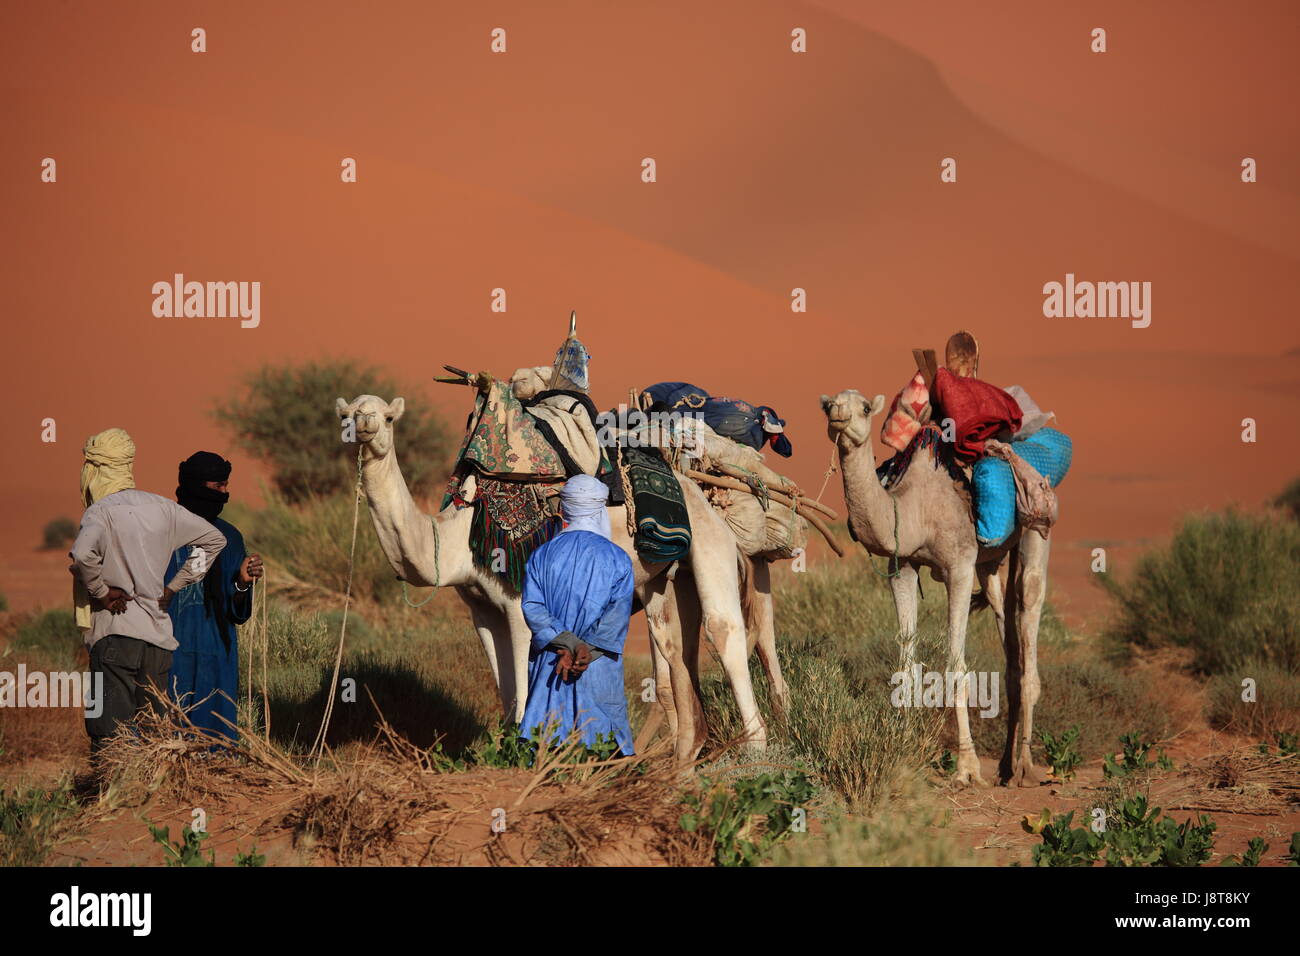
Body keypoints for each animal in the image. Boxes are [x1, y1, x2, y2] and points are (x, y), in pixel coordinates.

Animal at [333, 393, 766, 764]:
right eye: (347, 414)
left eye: (389, 417)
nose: (366, 424)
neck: (455, 539)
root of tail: (701, 492)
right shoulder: (481, 609)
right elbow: (506, 690)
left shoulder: (519, 602)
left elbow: (525, 694)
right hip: (665, 578)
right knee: (673, 652)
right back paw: (679, 763)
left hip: (710, 544)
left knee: (722, 631)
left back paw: (753, 755)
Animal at [820, 389, 1051, 787]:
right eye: (828, 403)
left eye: (864, 407)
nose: (837, 414)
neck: (915, 507)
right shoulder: (902, 567)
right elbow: (905, 664)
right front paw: (904, 751)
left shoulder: (958, 565)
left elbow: (956, 666)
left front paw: (967, 768)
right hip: (989, 563)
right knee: (1005, 626)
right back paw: (1005, 767)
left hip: (1036, 527)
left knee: (1030, 605)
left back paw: (1024, 767)